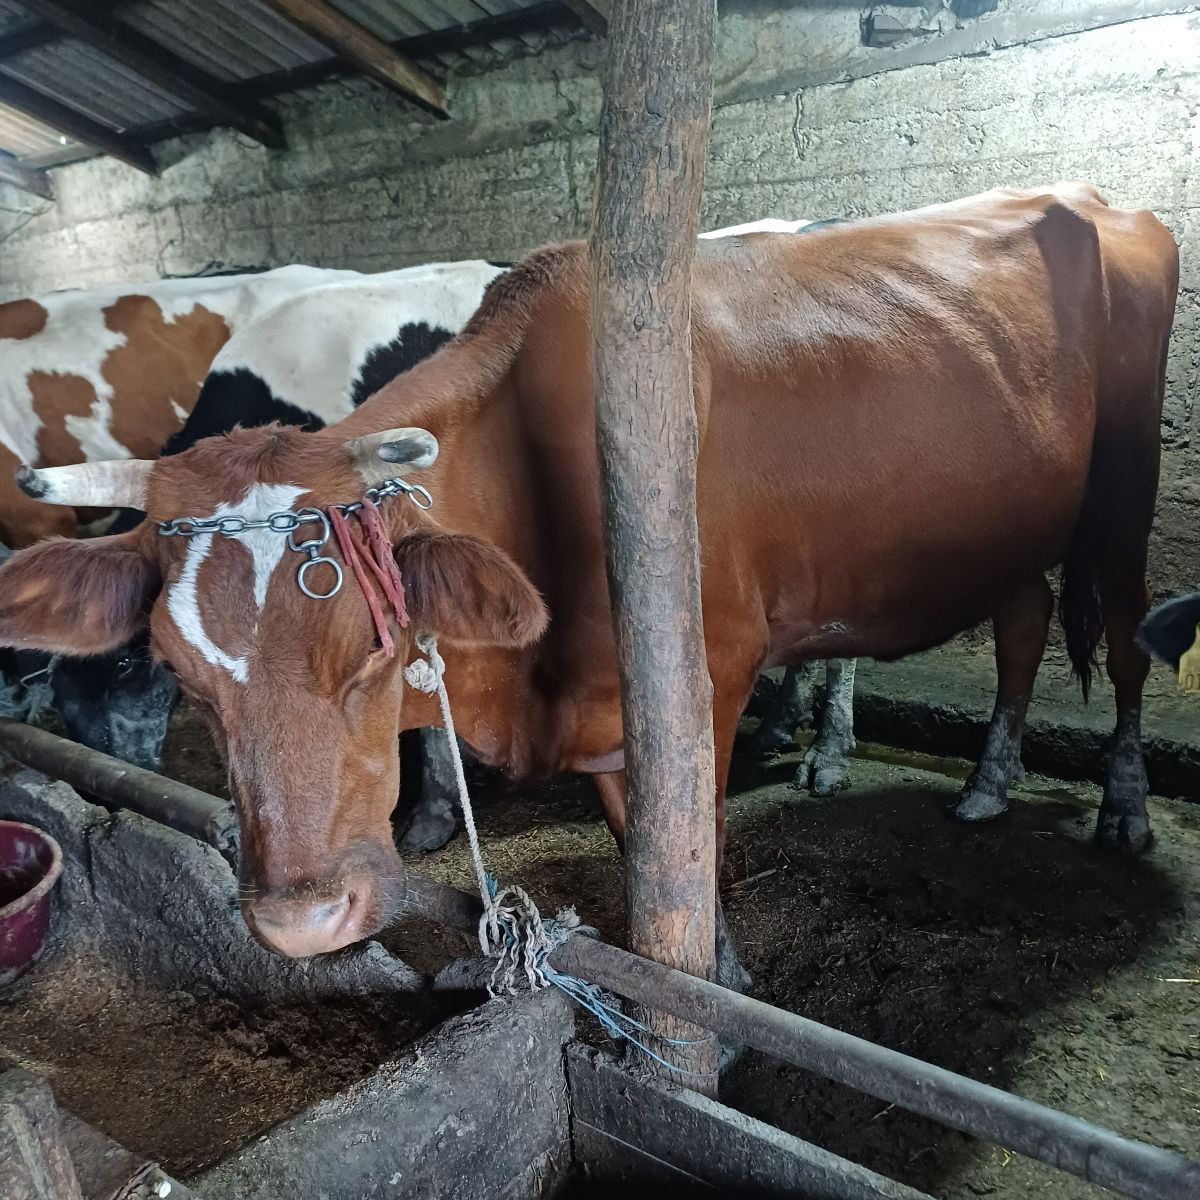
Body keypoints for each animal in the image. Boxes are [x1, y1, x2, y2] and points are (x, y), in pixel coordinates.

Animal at [0, 185, 1176, 985]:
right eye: (177, 666)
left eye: (374, 645)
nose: (298, 922)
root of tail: (1094, 197)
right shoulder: (608, 718)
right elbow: (644, 865)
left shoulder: (704, 678)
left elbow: (685, 858)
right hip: (1014, 526)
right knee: (1024, 624)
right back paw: (988, 780)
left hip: (1125, 489)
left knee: (1122, 641)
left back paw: (1119, 805)